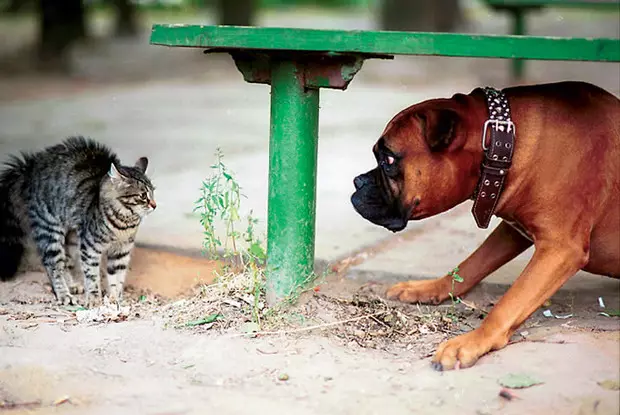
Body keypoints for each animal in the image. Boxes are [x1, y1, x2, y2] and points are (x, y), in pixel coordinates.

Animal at [0, 136, 155, 306]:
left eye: (153, 192)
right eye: (142, 196)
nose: (154, 205)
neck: (124, 224)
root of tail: (30, 166)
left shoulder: (121, 251)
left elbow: (116, 278)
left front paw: (115, 299)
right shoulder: (90, 248)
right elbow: (92, 276)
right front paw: (94, 299)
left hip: (72, 237)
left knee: (65, 260)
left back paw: (72, 285)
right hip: (50, 229)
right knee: (53, 264)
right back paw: (63, 294)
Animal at [352, 80, 616, 370]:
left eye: (388, 160)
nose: (357, 181)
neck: (504, 140)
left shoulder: (560, 250)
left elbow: (508, 304)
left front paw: (472, 341)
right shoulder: (513, 230)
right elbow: (472, 264)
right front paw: (429, 288)